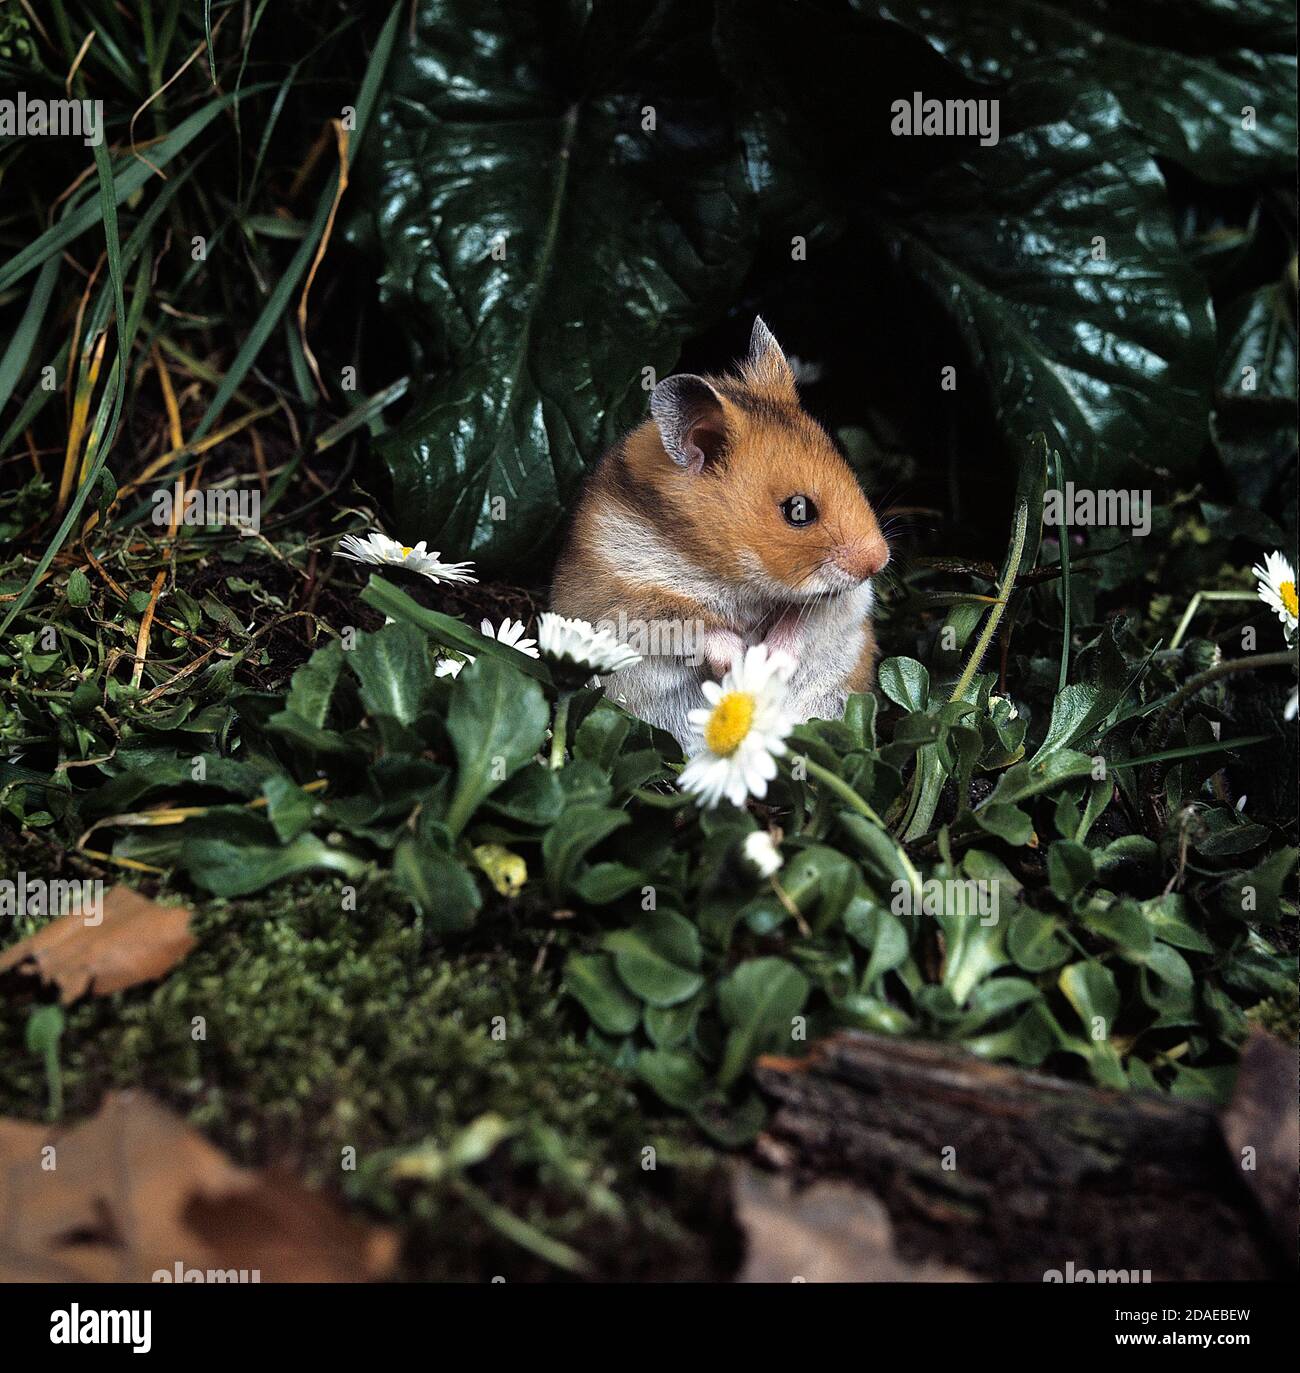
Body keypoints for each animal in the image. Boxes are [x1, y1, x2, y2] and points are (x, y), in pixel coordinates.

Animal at [550, 317, 889, 746]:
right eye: (798, 511)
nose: (880, 562)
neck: (726, 573)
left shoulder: (847, 602)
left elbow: (804, 620)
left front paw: (764, 661)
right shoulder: (624, 605)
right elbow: (696, 626)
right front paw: (739, 662)